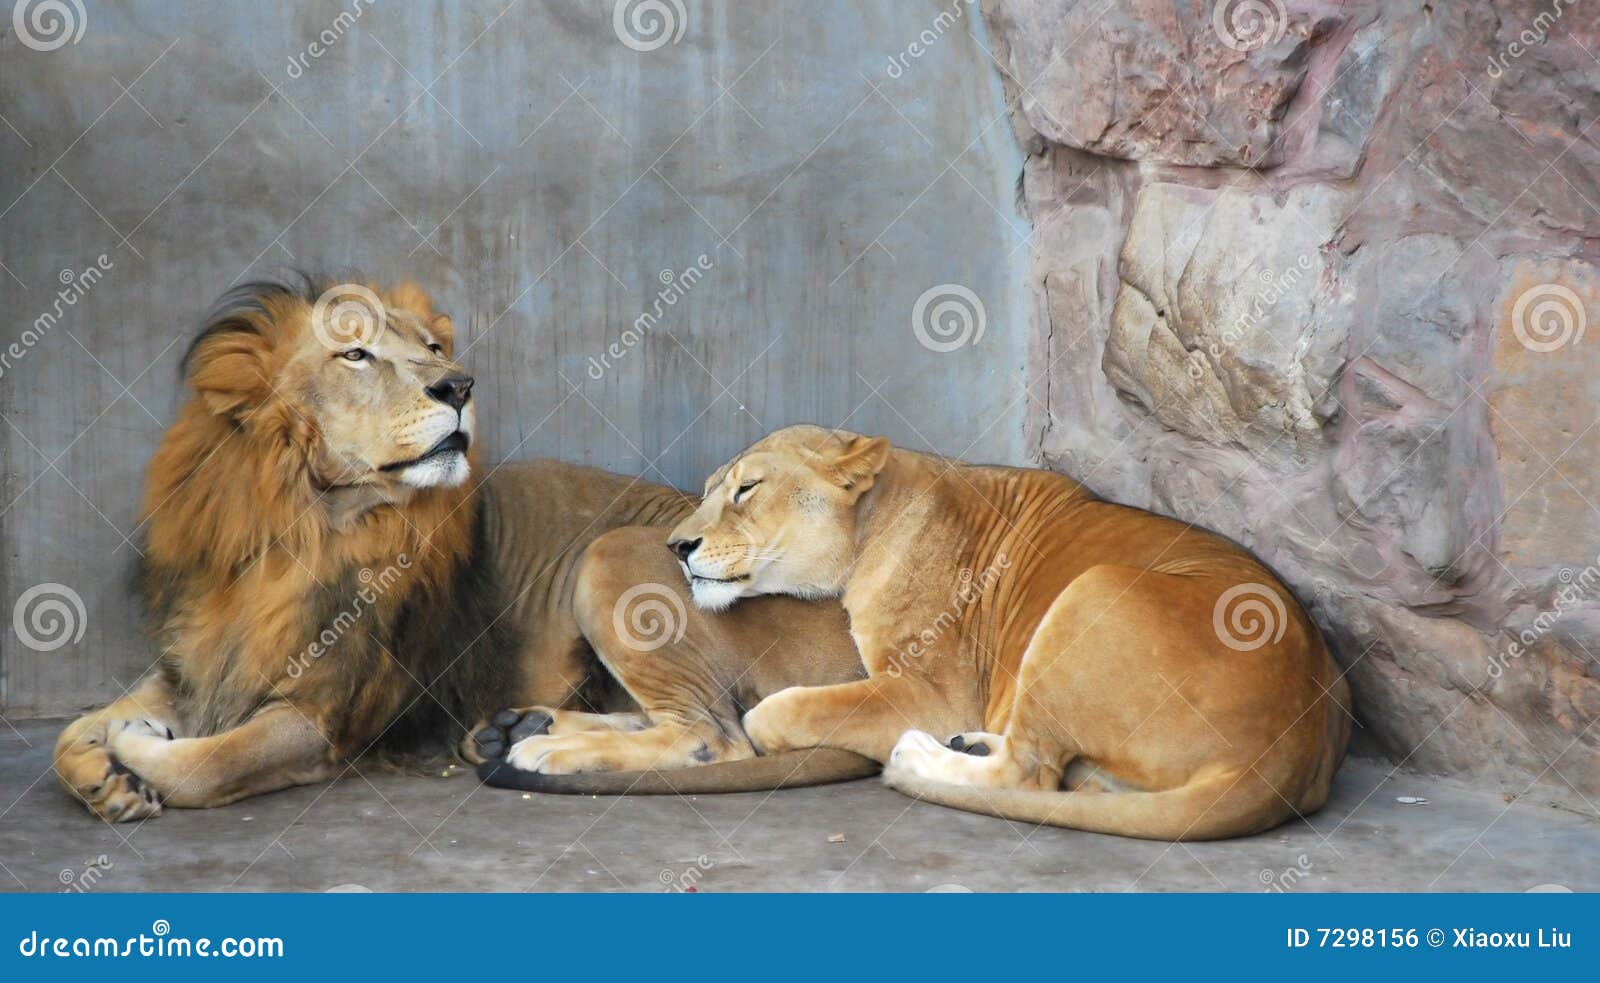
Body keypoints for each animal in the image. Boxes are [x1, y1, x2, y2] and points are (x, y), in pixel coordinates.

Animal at [52, 278, 872, 822]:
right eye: (356, 353)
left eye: (431, 349)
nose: (459, 384)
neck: (303, 522)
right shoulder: (200, 658)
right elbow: (70, 733)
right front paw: (104, 774)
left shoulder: (324, 715)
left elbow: (208, 762)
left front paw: (134, 750)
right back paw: (518, 731)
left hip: (610, 552)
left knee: (719, 737)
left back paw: (544, 750)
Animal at [501, 424, 1352, 840]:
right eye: (711, 490)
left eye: (746, 489)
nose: (677, 546)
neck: (881, 512)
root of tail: (1292, 748)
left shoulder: (936, 691)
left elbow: (774, 714)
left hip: (1093, 591)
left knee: (1028, 775)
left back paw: (921, 755)